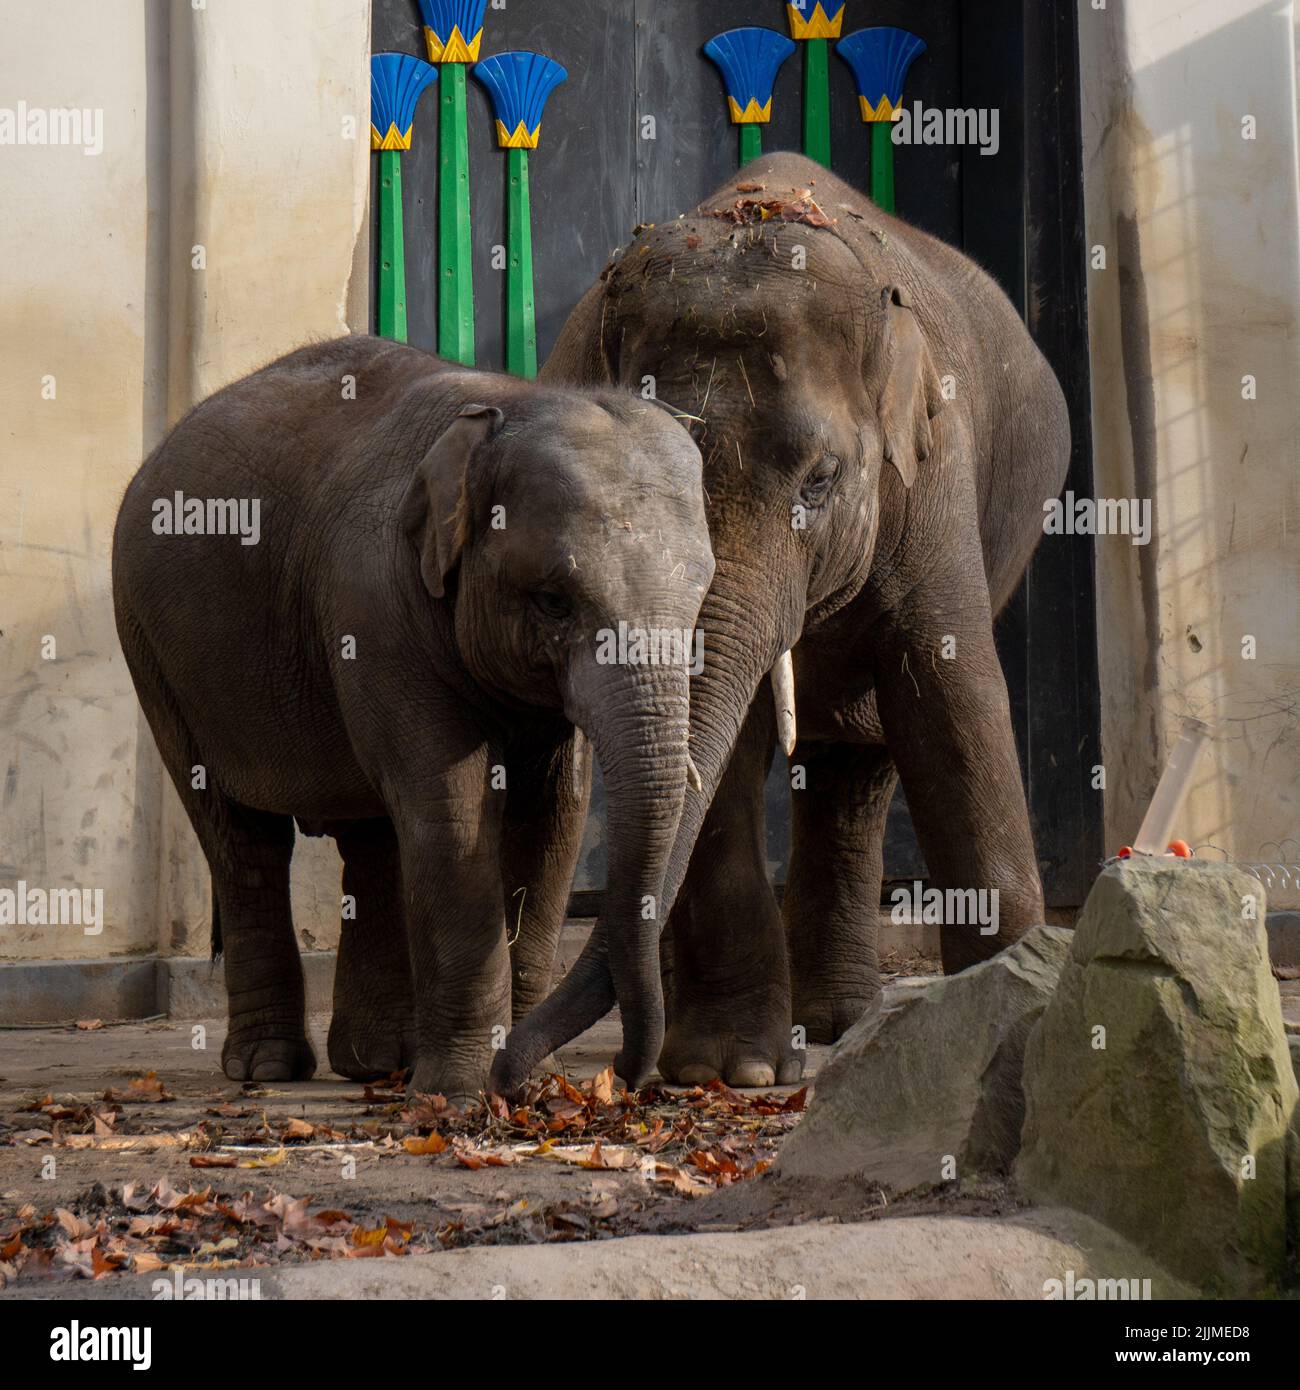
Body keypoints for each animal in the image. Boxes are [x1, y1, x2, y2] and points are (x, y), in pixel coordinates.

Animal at [112, 336, 712, 1102]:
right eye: (553, 601)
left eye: (699, 601)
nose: (625, 1079)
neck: (510, 406)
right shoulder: (373, 607)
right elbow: (452, 805)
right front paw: (464, 1091)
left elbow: (553, 814)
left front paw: (526, 1080)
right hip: (154, 653)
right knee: (240, 838)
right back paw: (267, 1068)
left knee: (372, 836)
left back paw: (376, 1063)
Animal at [493, 152, 1070, 1093]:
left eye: (820, 481)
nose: (511, 1075)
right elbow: (722, 757)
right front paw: (733, 1070)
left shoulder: (934, 479)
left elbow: (953, 699)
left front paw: (1016, 1008)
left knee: (861, 759)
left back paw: (838, 1023)